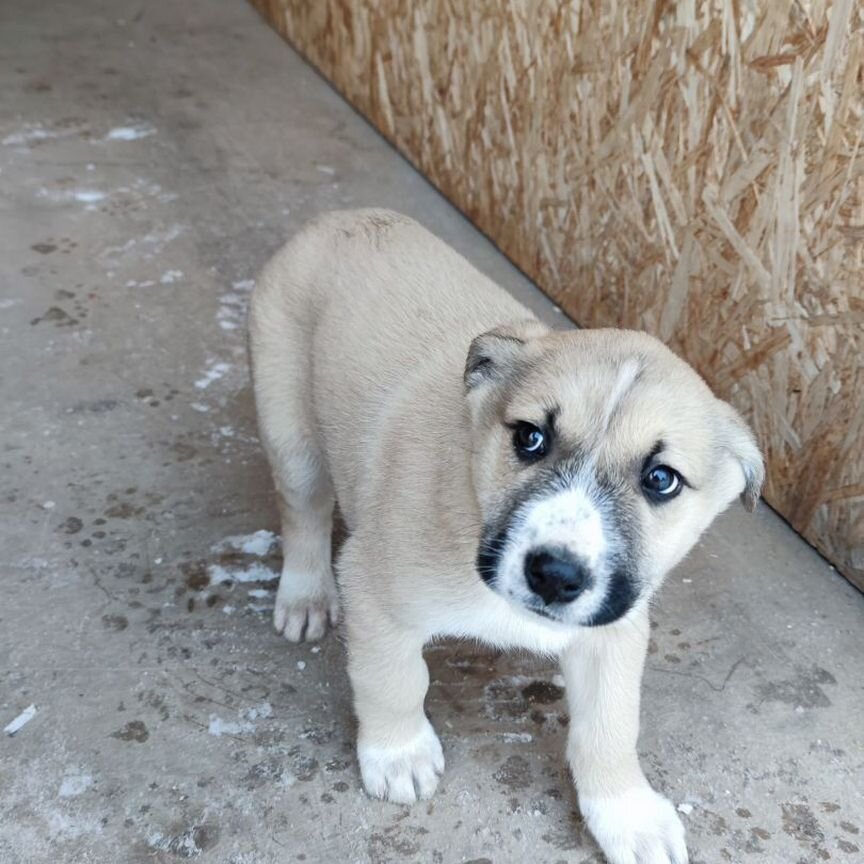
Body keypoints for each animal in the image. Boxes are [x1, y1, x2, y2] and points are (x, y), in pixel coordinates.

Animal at [246, 211, 760, 864]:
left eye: (661, 479)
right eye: (530, 438)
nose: (556, 575)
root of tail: (342, 218)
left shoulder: (614, 627)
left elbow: (611, 726)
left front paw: (627, 814)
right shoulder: (374, 588)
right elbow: (393, 680)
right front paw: (398, 752)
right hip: (290, 428)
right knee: (304, 513)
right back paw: (307, 596)